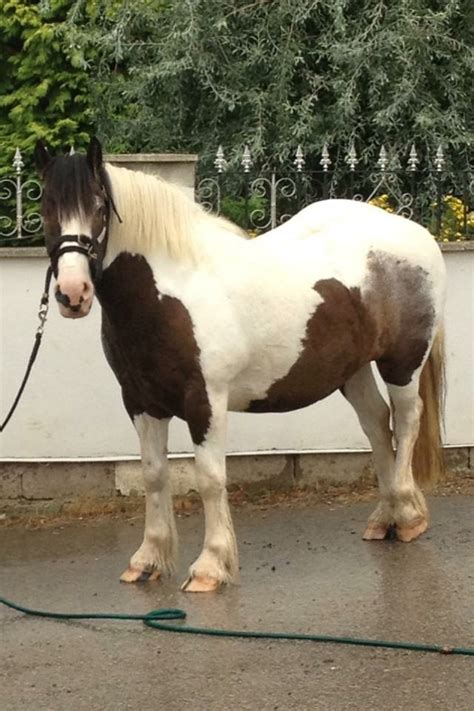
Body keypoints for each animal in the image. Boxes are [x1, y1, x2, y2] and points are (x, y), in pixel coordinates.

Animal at [34, 138, 446, 593]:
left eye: (99, 207)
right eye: (46, 206)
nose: (73, 293)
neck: (169, 291)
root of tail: (415, 232)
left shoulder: (205, 401)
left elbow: (210, 479)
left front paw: (211, 566)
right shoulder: (140, 402)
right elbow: (153, 475)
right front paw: (148, 560)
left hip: (402, 362)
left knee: (406, 421)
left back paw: (407, 517)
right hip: (352, 368)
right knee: (376, 422)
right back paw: (384, 517)